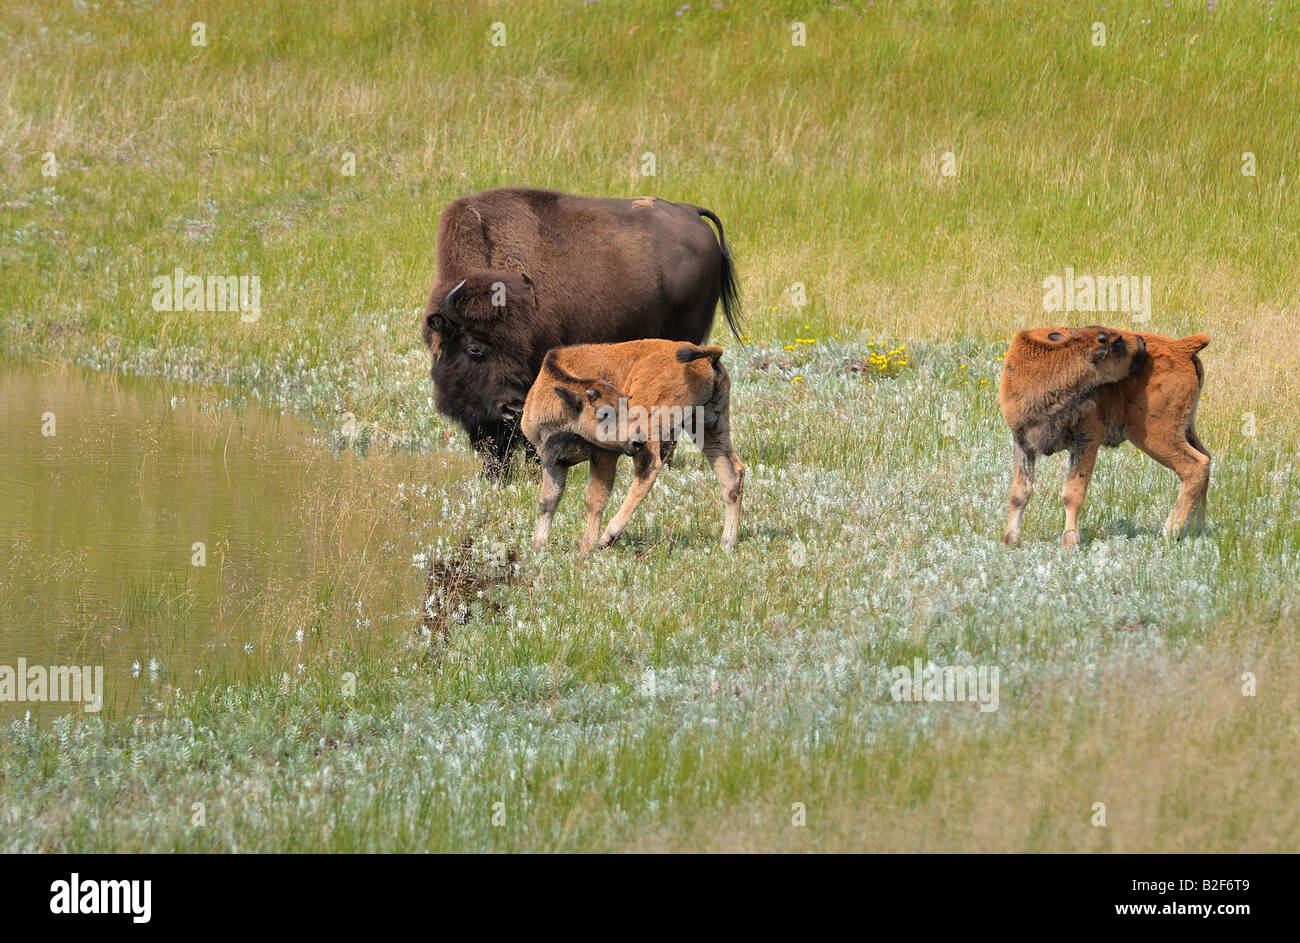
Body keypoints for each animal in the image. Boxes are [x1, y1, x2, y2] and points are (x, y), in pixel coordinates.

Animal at [521, 339, 745, 552]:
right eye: (604, 412)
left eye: (625, 404)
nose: (637, 439)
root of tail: (709, 357)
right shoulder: (553, 461)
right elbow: (548, 501)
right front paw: (538, 548)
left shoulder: (604, 456)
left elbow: (595, 500)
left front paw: (586, 548)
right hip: (709, 427)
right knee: (732, 473)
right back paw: (727, 544)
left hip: (653, 428)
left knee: (649, 469)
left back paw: (607, 538)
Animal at [999, 325, 1210, 547]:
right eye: (1117, 342)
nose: (1141, 343)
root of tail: (1181, 348)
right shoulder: (1022, 443)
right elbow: (1020, 493)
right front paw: (1010, 540)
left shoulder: (1087, 442)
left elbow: (1072, 493)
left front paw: (1069, 542)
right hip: (1184, 429)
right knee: (1206, 460)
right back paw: (1196, 530)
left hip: (1155, 437)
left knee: (1195, 466)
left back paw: (1169, 533)